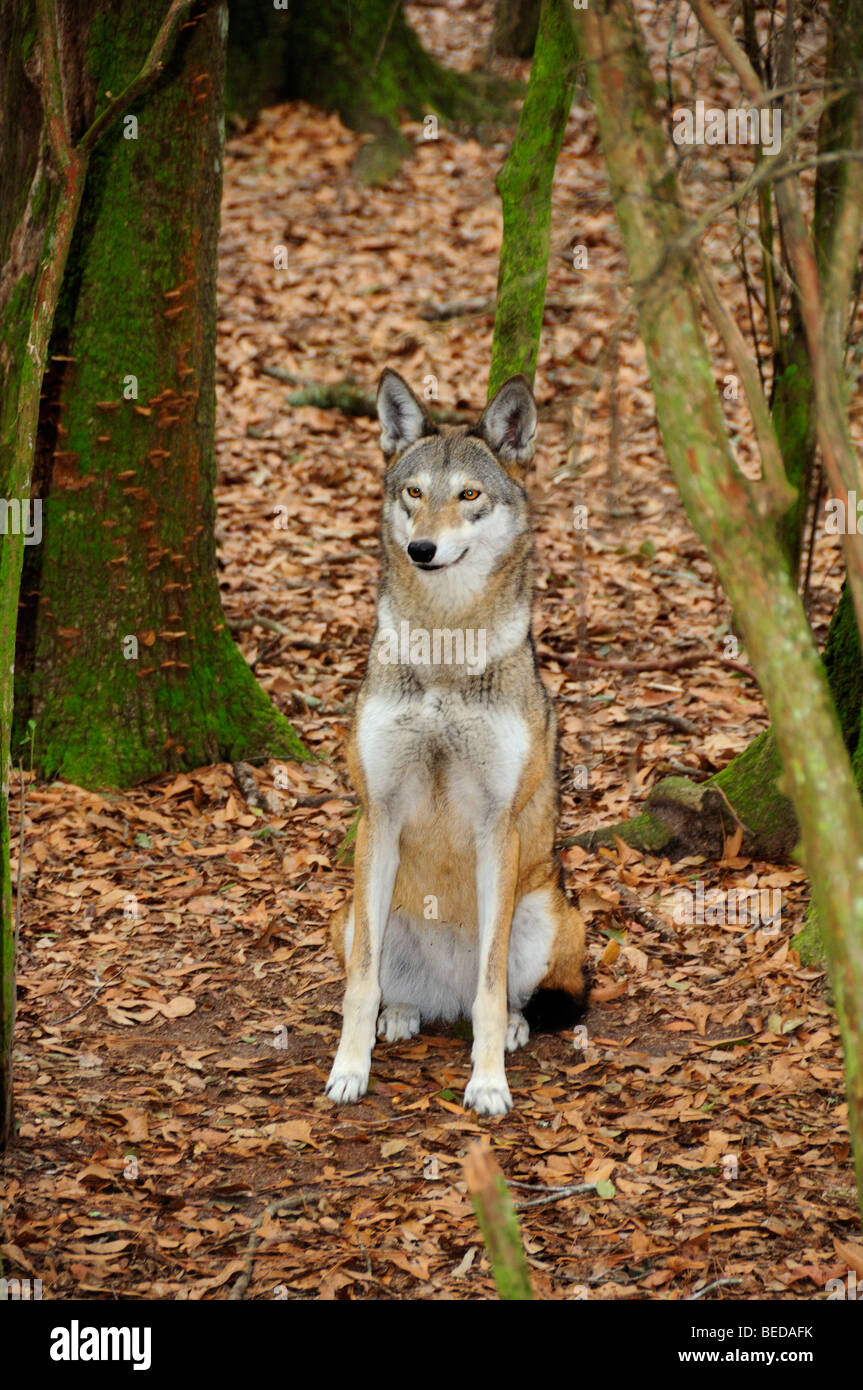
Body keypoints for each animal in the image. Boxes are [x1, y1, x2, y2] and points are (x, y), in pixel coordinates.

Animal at [325, 369, 588, 1116]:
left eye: (469, 495)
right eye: (415, 493)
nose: (422, 550)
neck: (446, 650)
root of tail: (442, 995)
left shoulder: (497, 826)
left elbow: (492, 989)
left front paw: (488, 1084)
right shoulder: (378, 816)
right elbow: (358, 986)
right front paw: (348, 1069)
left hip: (547, 913)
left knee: (501, 995)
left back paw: (510, 1031)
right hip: (353, 914)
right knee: (391, 985)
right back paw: (401, 1016)